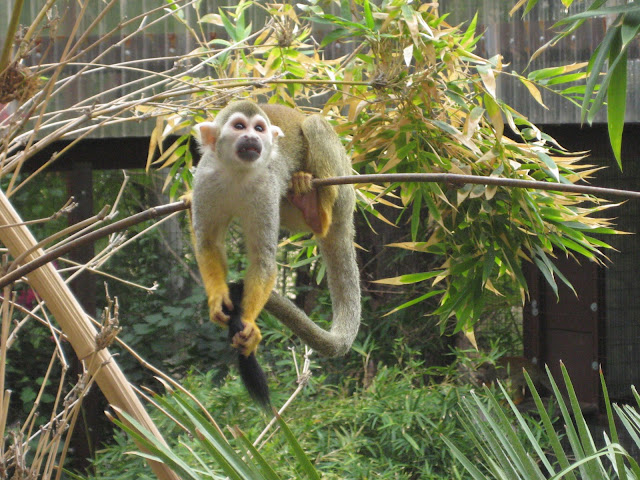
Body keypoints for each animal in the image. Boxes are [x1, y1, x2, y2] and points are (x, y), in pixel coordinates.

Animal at [190, 100, 361, 368]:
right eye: (239, 126)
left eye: (259, 128)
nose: (252, 137)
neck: (238, 172)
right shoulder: (205, 178)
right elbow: (208, 242)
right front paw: (218, 299)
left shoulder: (266, 185)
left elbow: (263, 257)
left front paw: (248, 323)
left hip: (344, 190)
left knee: (314, 124)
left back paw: (317, 211)